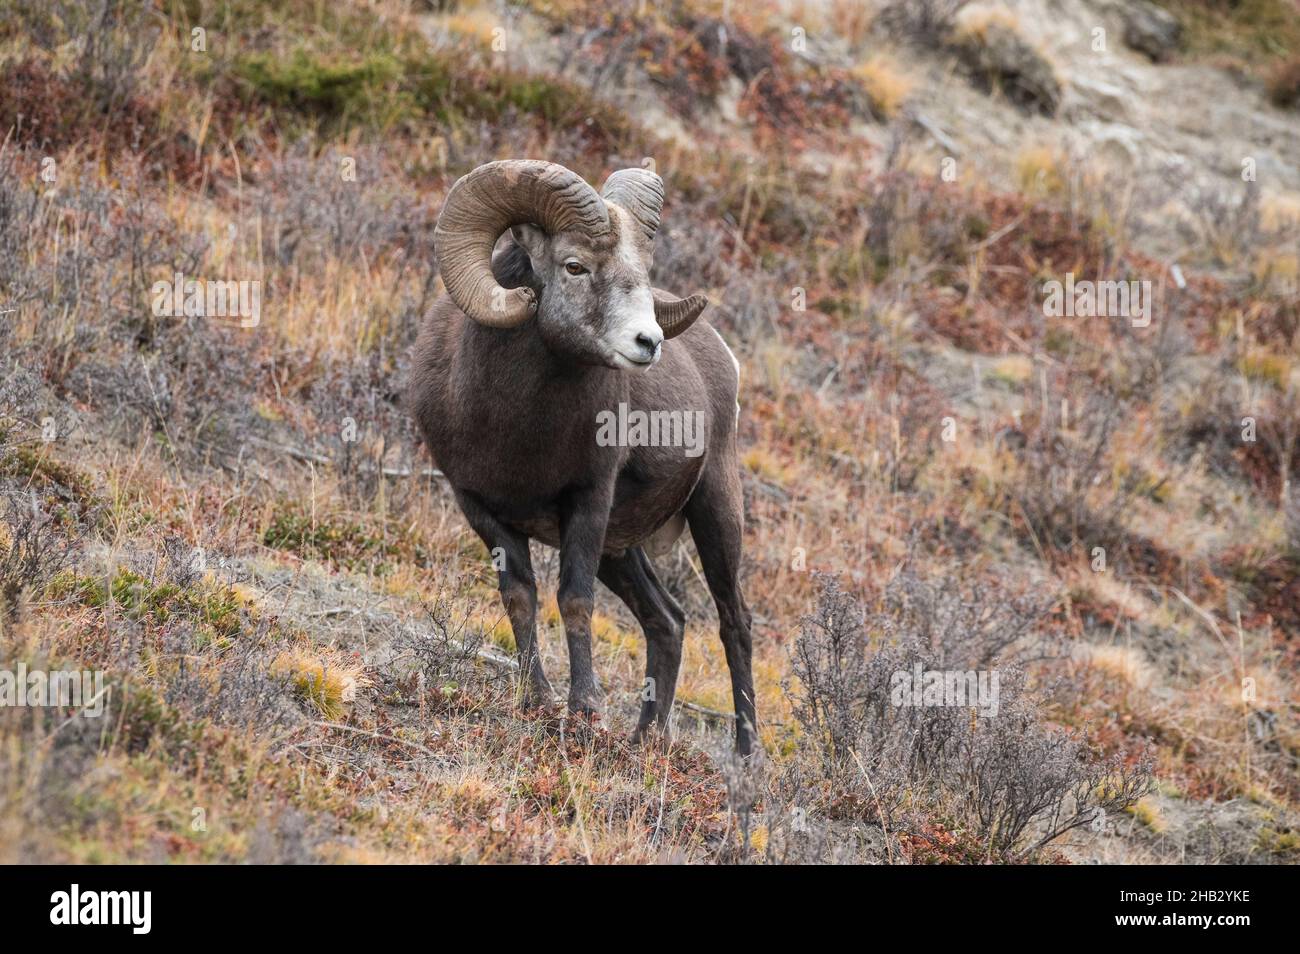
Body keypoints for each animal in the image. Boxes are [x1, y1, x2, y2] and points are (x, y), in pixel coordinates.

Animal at [407, 159, 756, 753]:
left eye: (641, 270)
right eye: (574, 266)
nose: (648, 342)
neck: (516, 429)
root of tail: (723, 358)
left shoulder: (588, 502)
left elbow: (573, 600)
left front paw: (586, 712)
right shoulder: (479, 507)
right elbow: (519, 596)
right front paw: (537, 702)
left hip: (715, 510)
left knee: (735, 622)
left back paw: (747, 756)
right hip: (623, 550)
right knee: (668, 621)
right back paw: (645, 740)